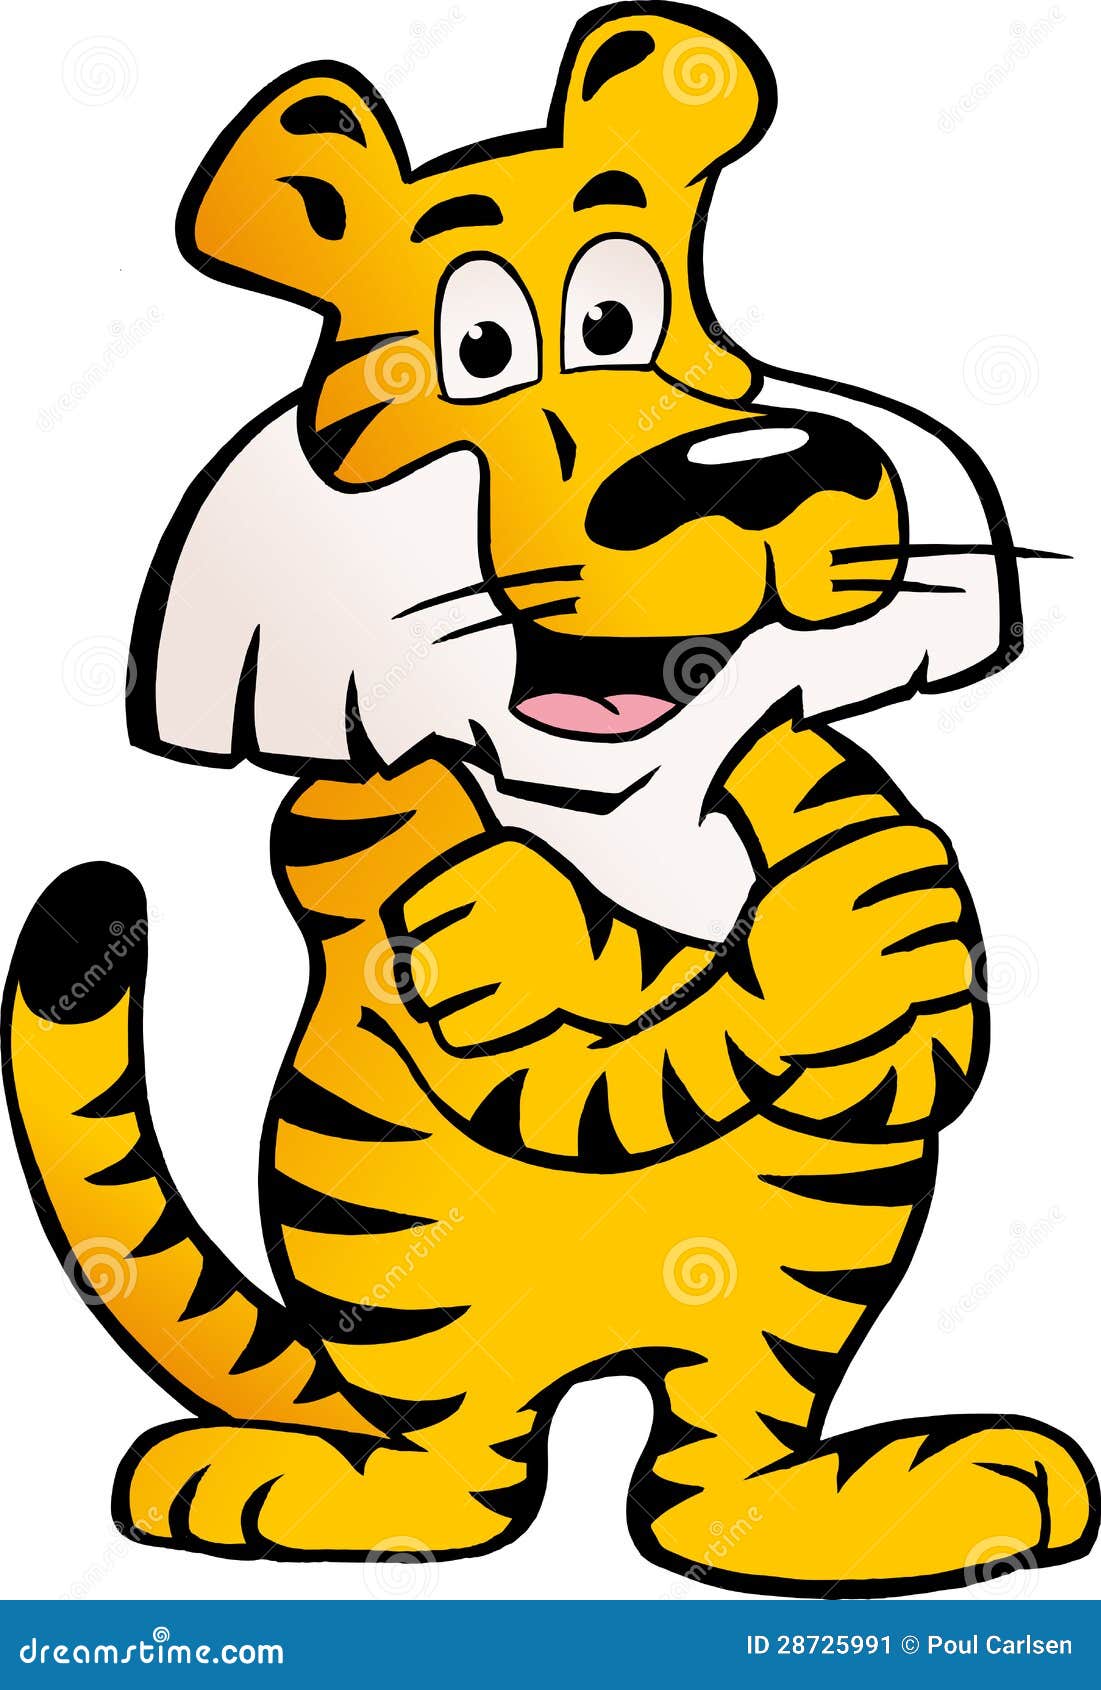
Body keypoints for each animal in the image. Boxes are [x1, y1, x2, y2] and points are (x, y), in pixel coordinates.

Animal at [3, 2, 1096, 1595]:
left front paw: (872, 913)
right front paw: (559, 929)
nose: (766, 467)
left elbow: (902, 1022)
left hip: (796, 1273)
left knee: (708, 1478)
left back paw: (894, 1499)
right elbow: (582, 1062)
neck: (618, 800)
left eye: (628, 317)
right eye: (483, 348)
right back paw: (289, 1484)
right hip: (411, 1286)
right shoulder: (375, 856)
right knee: (465, 1480)